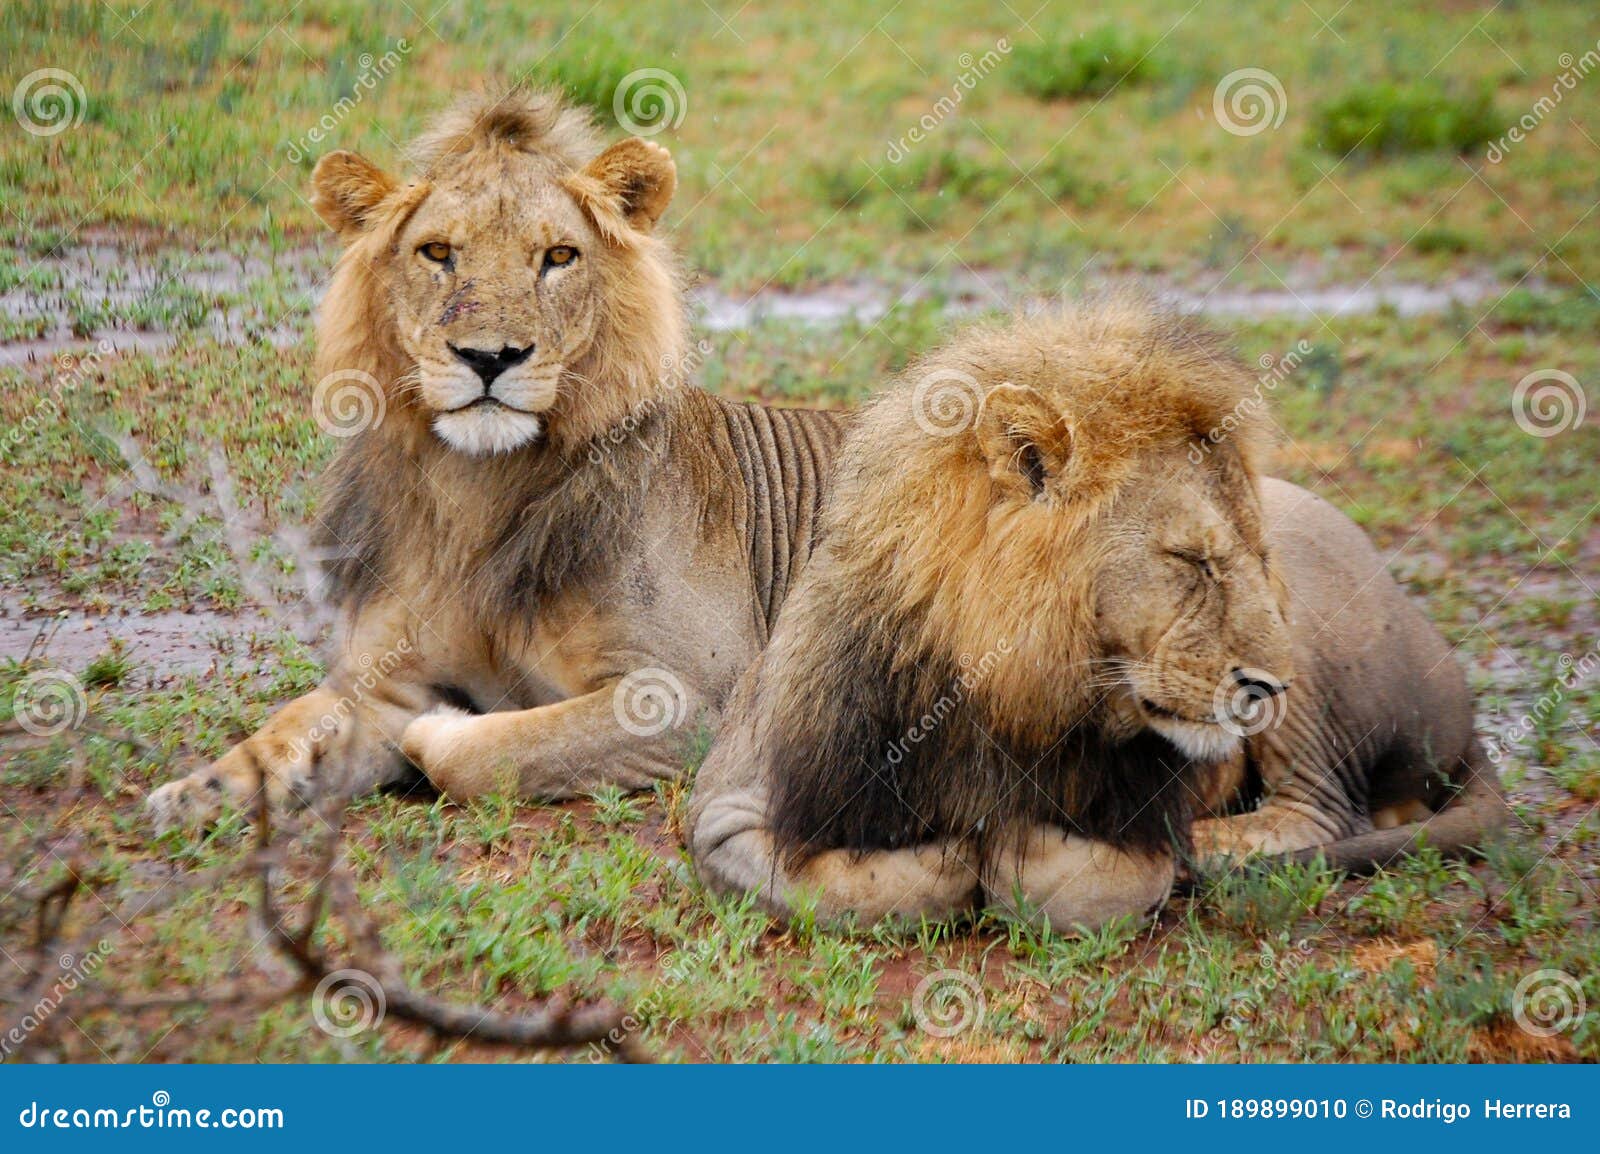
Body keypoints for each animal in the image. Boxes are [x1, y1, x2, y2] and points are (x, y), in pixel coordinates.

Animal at [146, 90, 846, 830]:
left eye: (559, 256)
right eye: (438, 252)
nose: (489, 357)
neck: (476, 494)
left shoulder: (689, 697)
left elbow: (480, 751)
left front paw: (445, 726)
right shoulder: (387, 677)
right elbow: (287, 725)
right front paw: (193, 792)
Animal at [688, 301, 1506, 933]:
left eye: (1255, 555)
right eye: (1192, 560)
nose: (1273, 685)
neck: (1006, 686)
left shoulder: (1138, 830)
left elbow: (1082, 886)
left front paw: (1013, 850)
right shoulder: (728, 808)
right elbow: (850, 888)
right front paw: (946, 853)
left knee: (1326, 813)